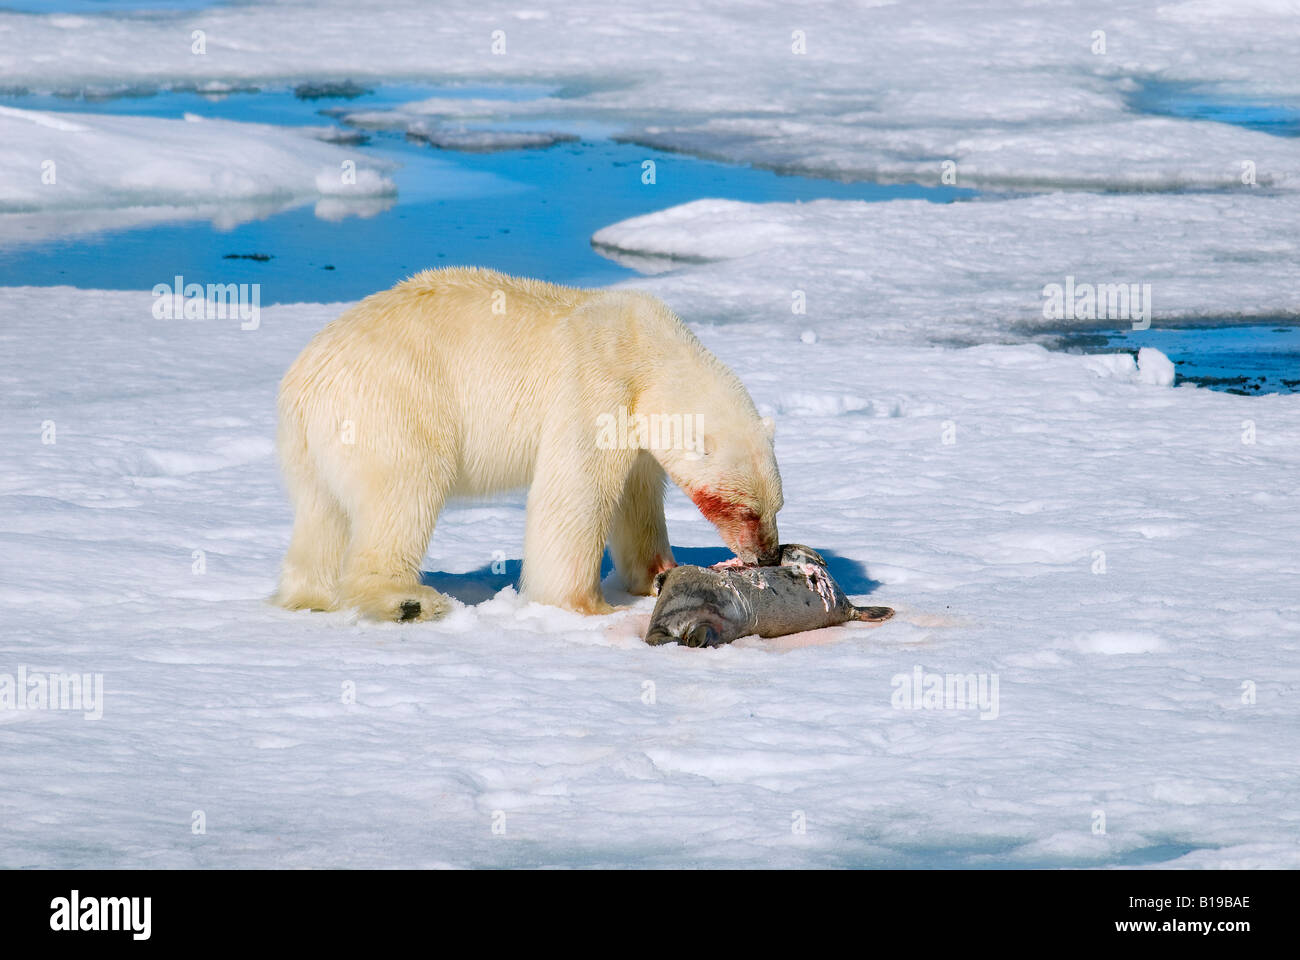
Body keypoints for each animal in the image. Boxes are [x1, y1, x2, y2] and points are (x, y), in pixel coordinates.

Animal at [273, 267, 783, 622]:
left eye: (776, 506)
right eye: (746, 510)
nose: (769, 555)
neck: (648, 349)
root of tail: (307, 378)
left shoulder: (638, 429)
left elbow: (637, 499)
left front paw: (658, 573)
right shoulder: (596, 386)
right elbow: (576, 492)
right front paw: (586, 605)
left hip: (309, 443)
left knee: (320, 513)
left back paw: (309, 595)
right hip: (391, 406)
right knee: (402, 492)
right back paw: (406, 601)